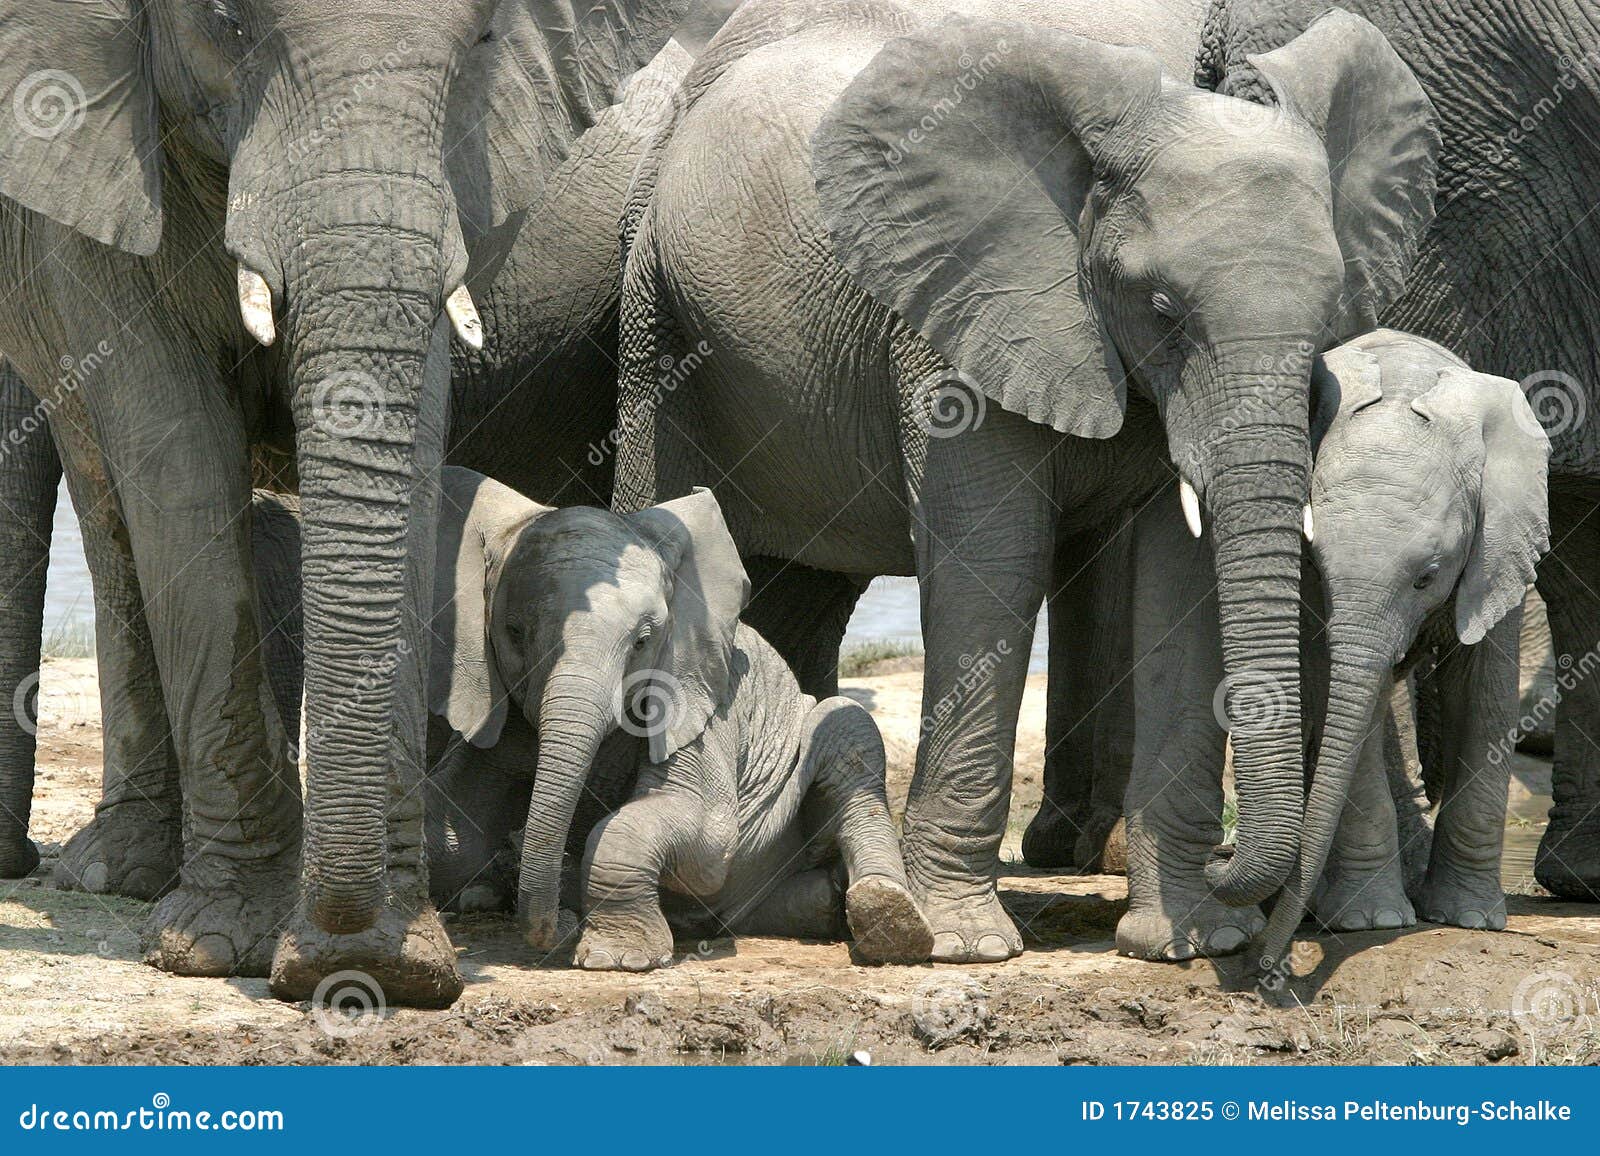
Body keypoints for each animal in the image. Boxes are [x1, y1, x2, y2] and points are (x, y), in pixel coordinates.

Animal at [0, 0, 688, 1005]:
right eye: (225, 22)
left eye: (484, 39)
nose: (345, 959)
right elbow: (174, 446)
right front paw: (222, 946)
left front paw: (395, 955)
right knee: (105, 493)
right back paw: (117, 873)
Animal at [612, 0, 1440, 961]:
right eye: (1162, 309)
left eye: (1332, 310)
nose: (1238, 867)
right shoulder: (957, 315)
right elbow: (996, 562)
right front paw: (964, 944)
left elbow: (1182, 578)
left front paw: (1188, 942)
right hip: (656, 313)